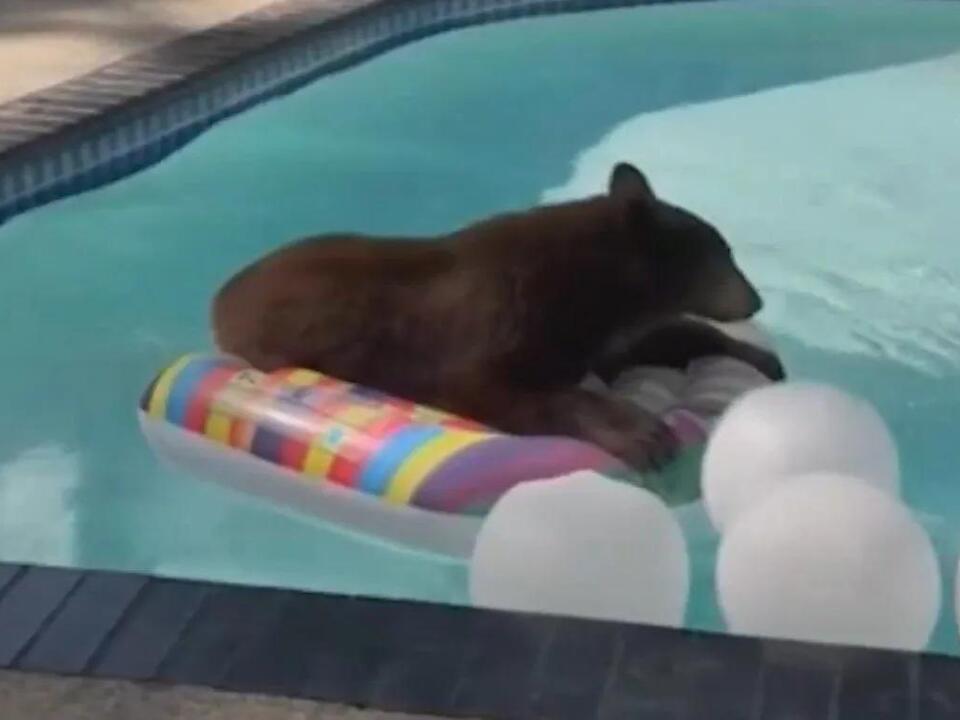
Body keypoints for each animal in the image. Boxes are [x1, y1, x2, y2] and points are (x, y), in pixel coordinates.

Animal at [211, 162, 762, 471]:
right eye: (722, 256)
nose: (756, 300)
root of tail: (219, 299)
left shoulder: (590, 332)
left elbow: (648, 341)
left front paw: (753, 354)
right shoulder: (499, 327)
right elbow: (507, 390)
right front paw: (639, 432)